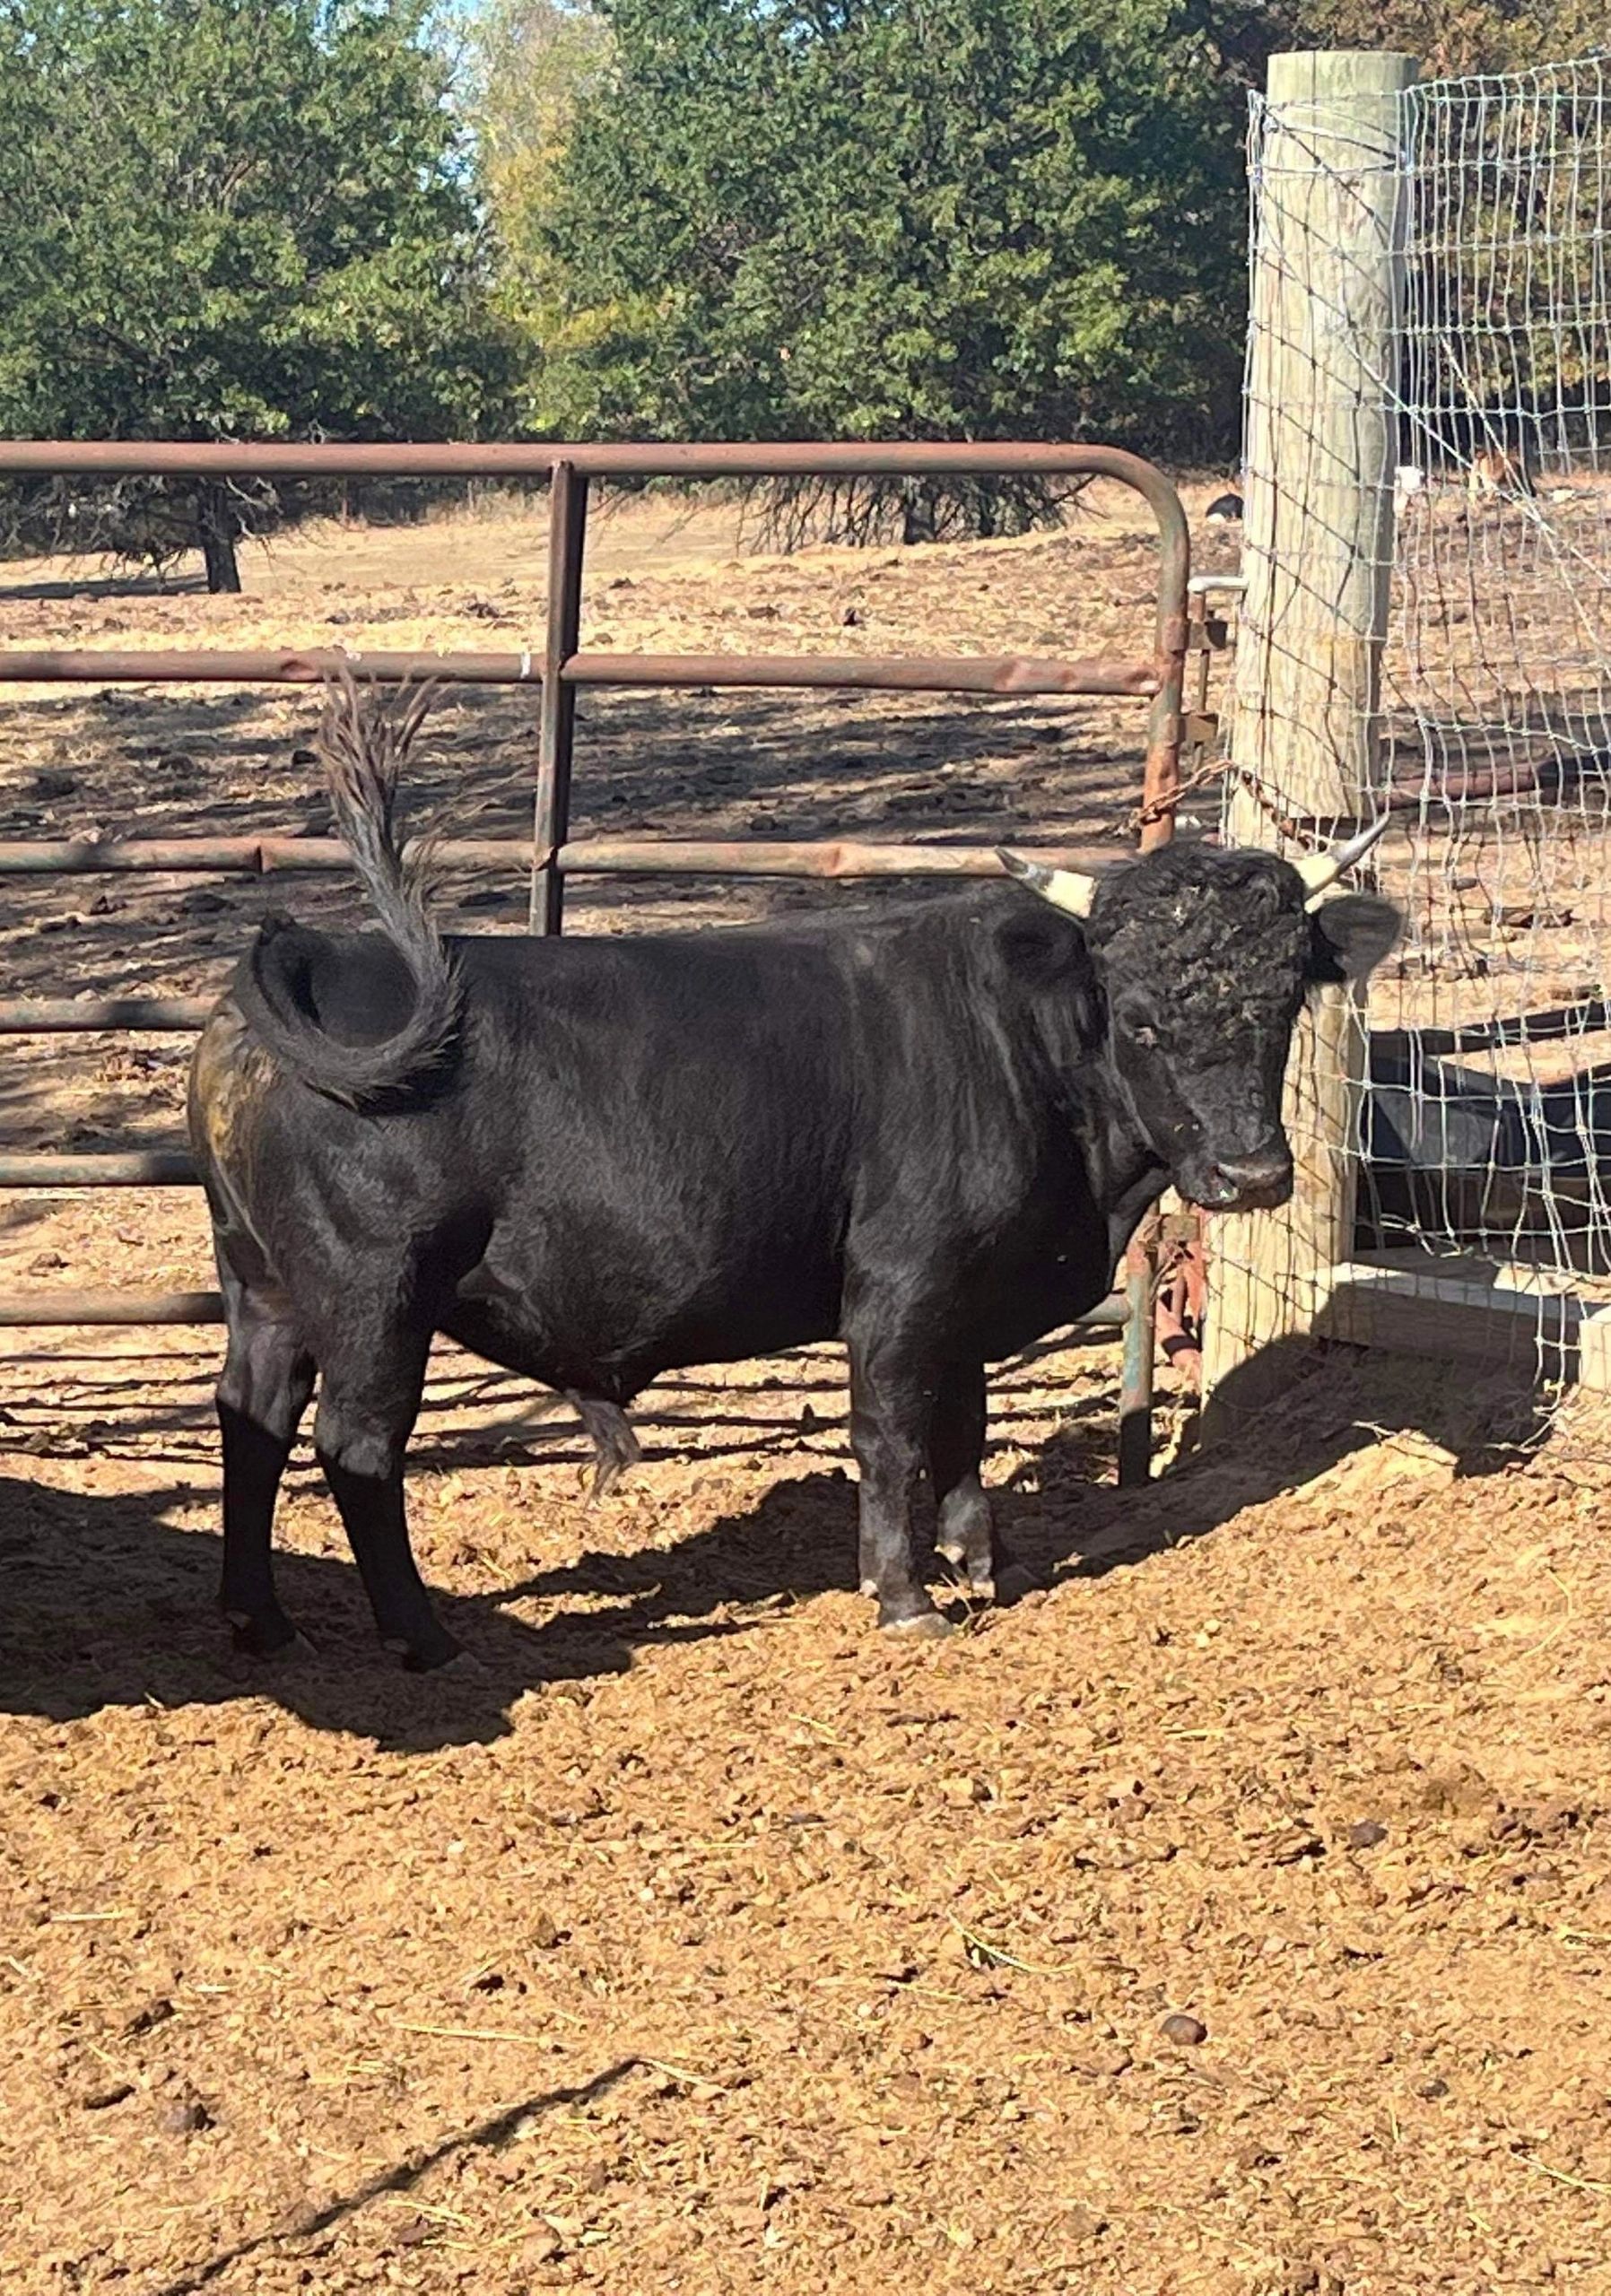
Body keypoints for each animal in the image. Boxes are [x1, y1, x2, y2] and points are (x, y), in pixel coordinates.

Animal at [187, 678, 1399, 1669]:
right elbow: (892, 1435)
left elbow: (963, 1430)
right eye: (1139, 1018)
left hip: (264, 1286)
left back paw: (260, 1619)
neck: (1021, 1050)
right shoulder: (897, 1291)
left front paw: (983, 1566)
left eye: (1286, 1003)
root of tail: (318, 956)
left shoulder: (964, 1302)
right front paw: (903, 1595)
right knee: (355, 1445)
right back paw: (421, 1634)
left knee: (252, 1417)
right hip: (375, 1295)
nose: (1249, 1173)